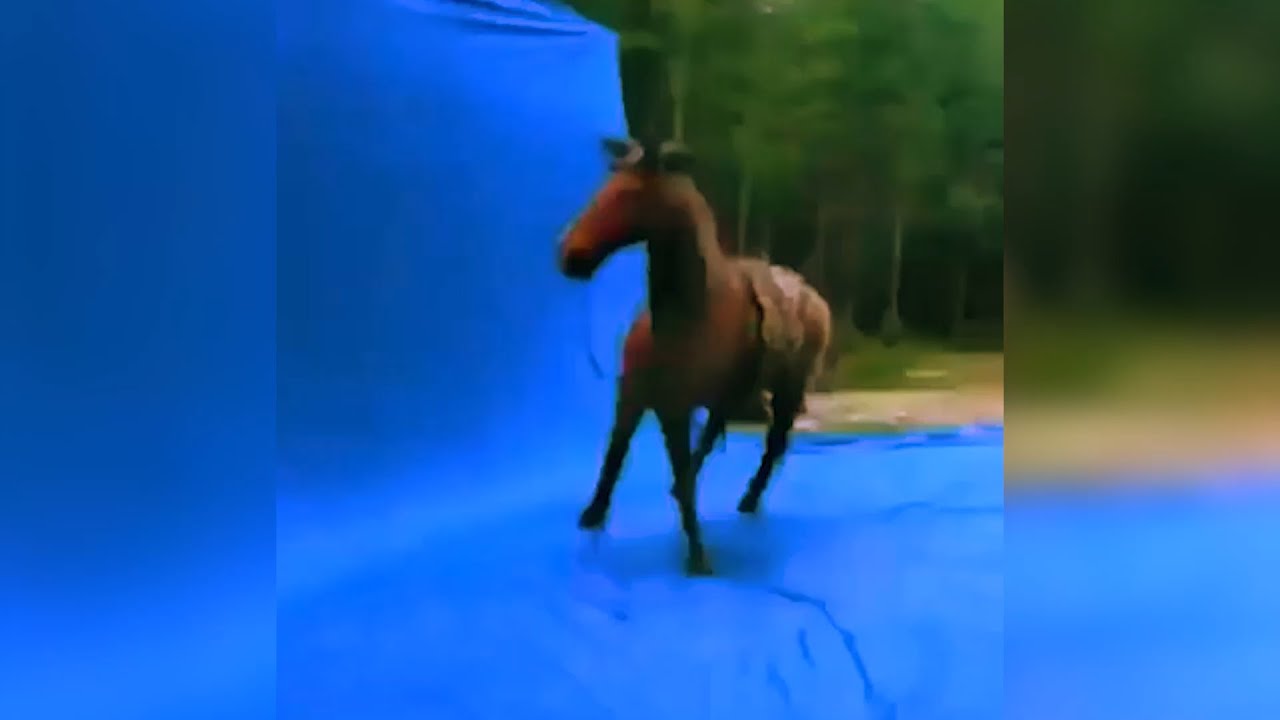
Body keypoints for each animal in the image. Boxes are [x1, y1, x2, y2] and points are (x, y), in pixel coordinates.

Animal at [557, 137, 832, 576]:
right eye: (604, 188)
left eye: (629, 194)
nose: (570, 255)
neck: (688, 313)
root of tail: (814, 297)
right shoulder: (632, 395)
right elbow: (615, 454)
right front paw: (592, 516)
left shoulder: (674, 408)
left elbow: (680, 468)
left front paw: (699, 556)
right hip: (731, 393)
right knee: (715, 432)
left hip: (788, 390)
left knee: (773, 445)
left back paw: (749, 500)